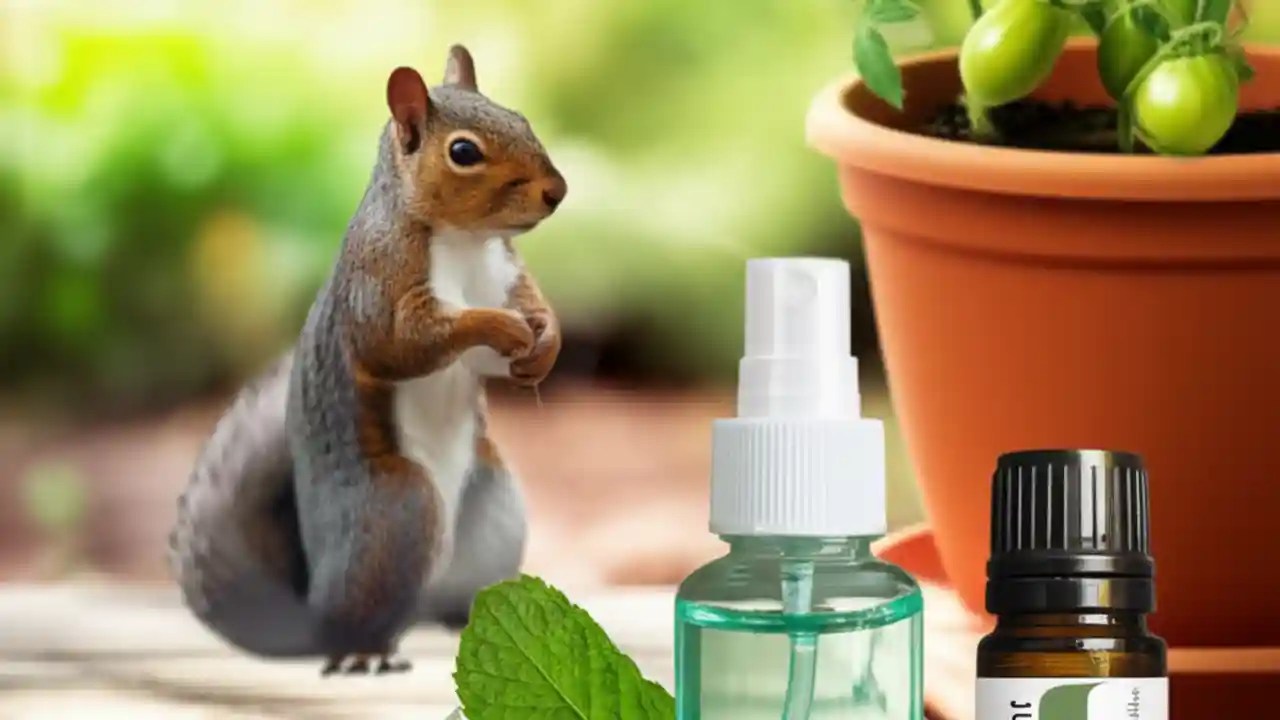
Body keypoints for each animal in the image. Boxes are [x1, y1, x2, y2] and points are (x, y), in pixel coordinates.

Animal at [168, 45, 566, 676]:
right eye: (463, 152)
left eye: (521, 117)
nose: (558, 190)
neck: (463, 241)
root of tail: (312, 610)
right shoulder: (378, 286)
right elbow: (405, 342)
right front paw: (498, 327)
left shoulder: (504, 273)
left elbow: (518, 326)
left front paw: (544, 344)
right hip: (397, 511)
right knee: (360, 620)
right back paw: (366, 650)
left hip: (493, 504)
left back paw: (484, 617)